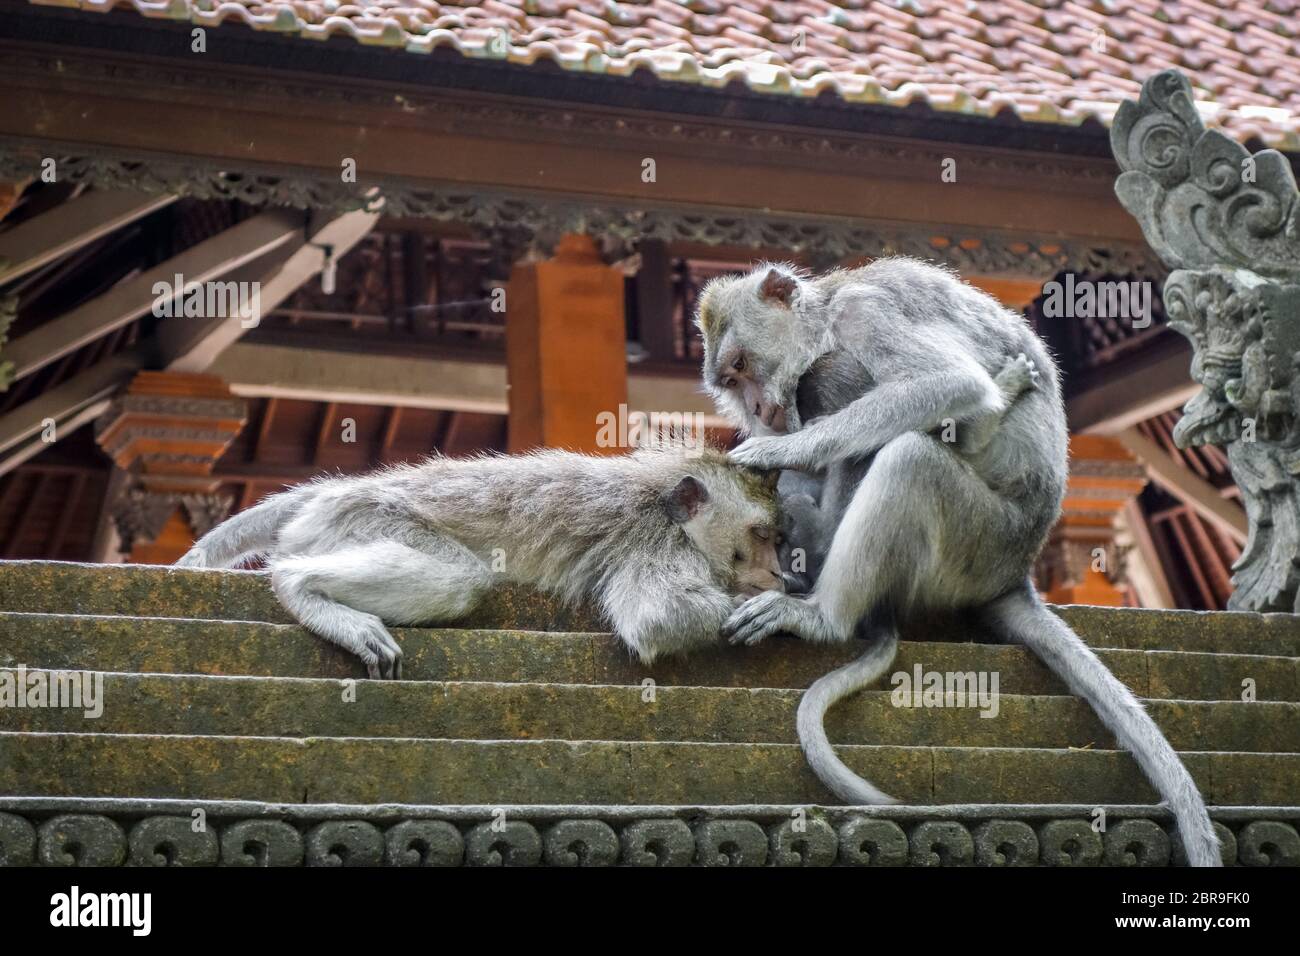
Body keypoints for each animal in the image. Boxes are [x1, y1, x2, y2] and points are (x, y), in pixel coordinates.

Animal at [176, 442, 784, 676]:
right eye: (760, 534)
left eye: (778, 536)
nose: (779, 570)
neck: (663, 499)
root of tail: (346, 488)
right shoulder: (655, 543)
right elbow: (662, 615)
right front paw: (780, 612)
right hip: (365, 517)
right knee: (463, 579)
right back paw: (302, 590)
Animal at [695, 258, 1222, 867]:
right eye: (732, 382)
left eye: (741, 364)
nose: (758, 409)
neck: (825, 317)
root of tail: (1017, 572)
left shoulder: (864, 315)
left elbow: (950, 384)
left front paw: (778, 451)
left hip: (978, 539)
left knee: (911, 456)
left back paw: (823, 616)